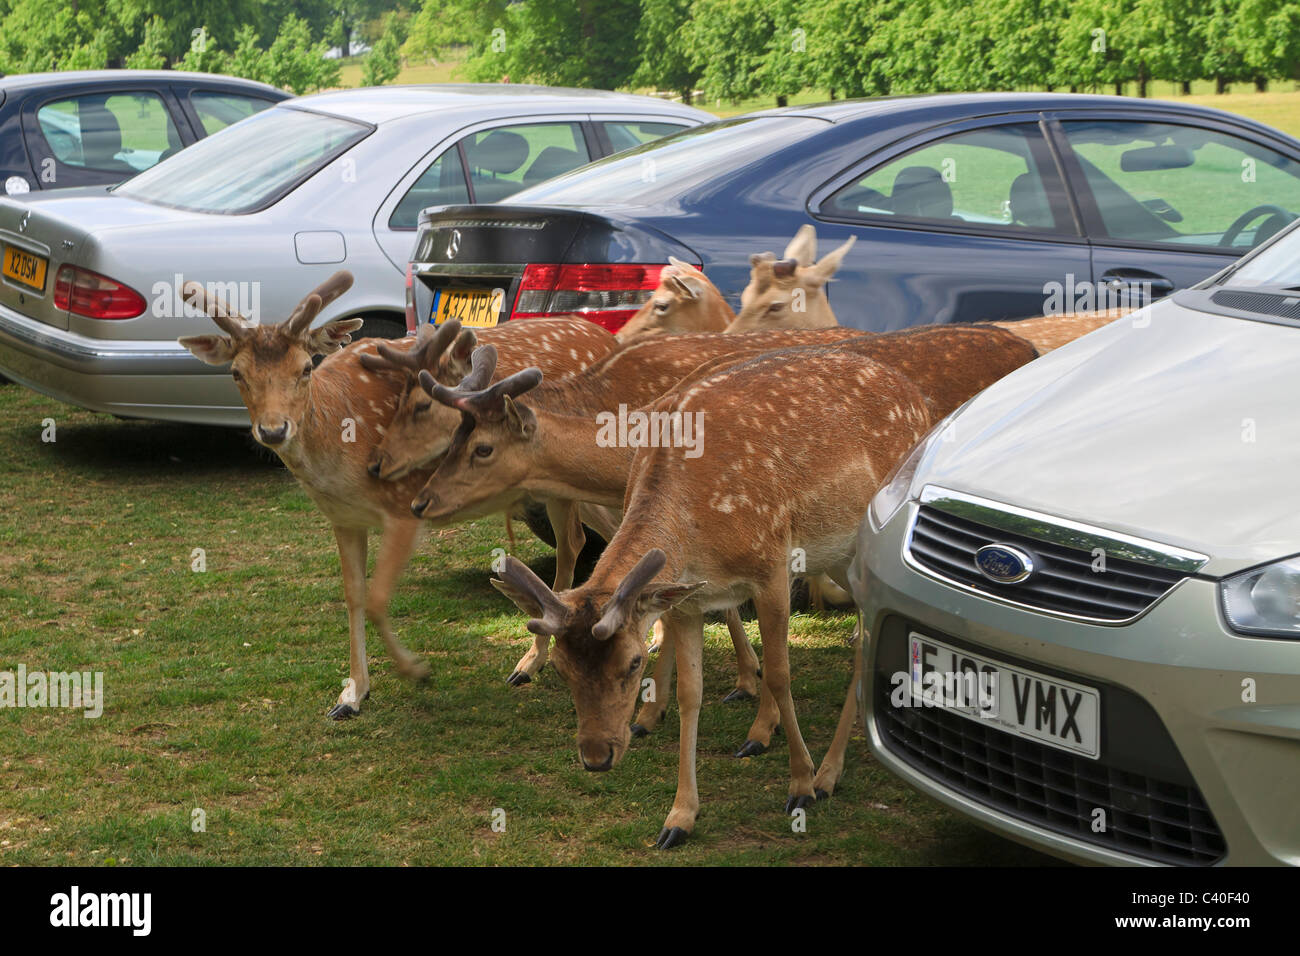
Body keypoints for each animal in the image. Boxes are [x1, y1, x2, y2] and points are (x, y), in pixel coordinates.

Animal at [176, 271, 617, 720]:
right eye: (236, 373)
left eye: (305, 368)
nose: (272, 430)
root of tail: (609, 338)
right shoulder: (343, 519)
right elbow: (353, 596)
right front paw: (351, 696)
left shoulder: (405, 505)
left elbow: (376, 598)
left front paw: (416, 671)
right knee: (593, 534)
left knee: (578, 542)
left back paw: (536, 661)